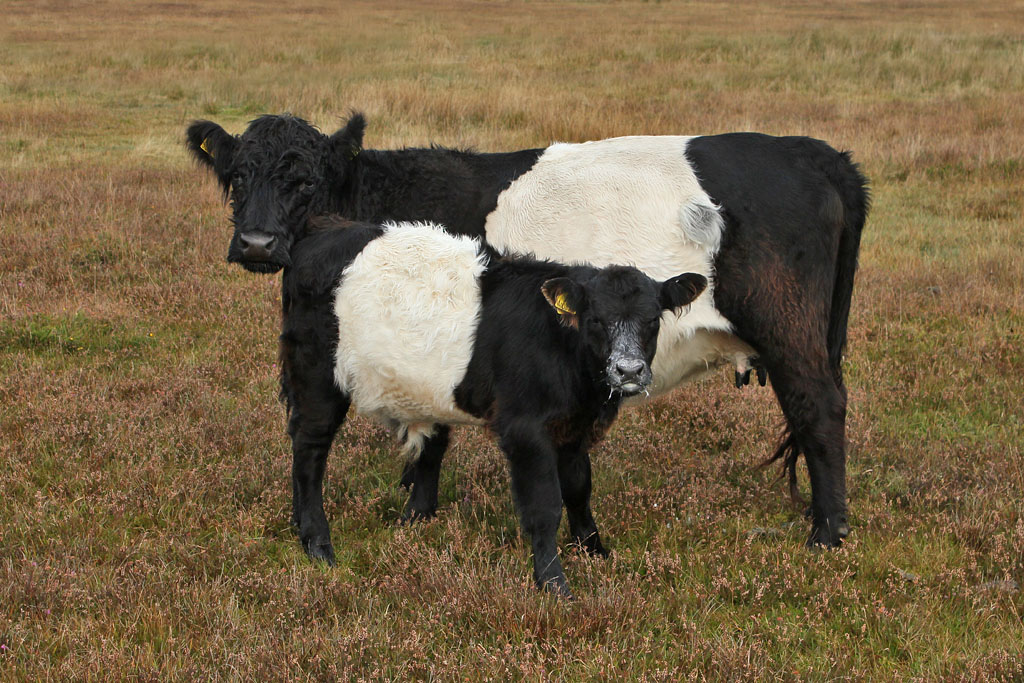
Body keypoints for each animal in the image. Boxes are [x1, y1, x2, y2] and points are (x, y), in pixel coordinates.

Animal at [187, 113, 869, 552]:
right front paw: (417, 519)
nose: (257, 243)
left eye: (304, 179)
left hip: (789, 333)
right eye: (239, 176)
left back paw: (827, 534)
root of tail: (818, 154)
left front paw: (416, 513)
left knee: (819, 409)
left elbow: (434, 436)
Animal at [275, 217, 706, 596]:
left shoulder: (572, 427)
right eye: (596, 319)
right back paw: (317, 543)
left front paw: (595, 552)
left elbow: (579, 489)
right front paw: (554, 583)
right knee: (309, 450)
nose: (628, 369)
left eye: (653, 320)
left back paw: (405, 522)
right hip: (317, 377)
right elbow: (544, 505)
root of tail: (323, 231)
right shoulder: (524, 428)